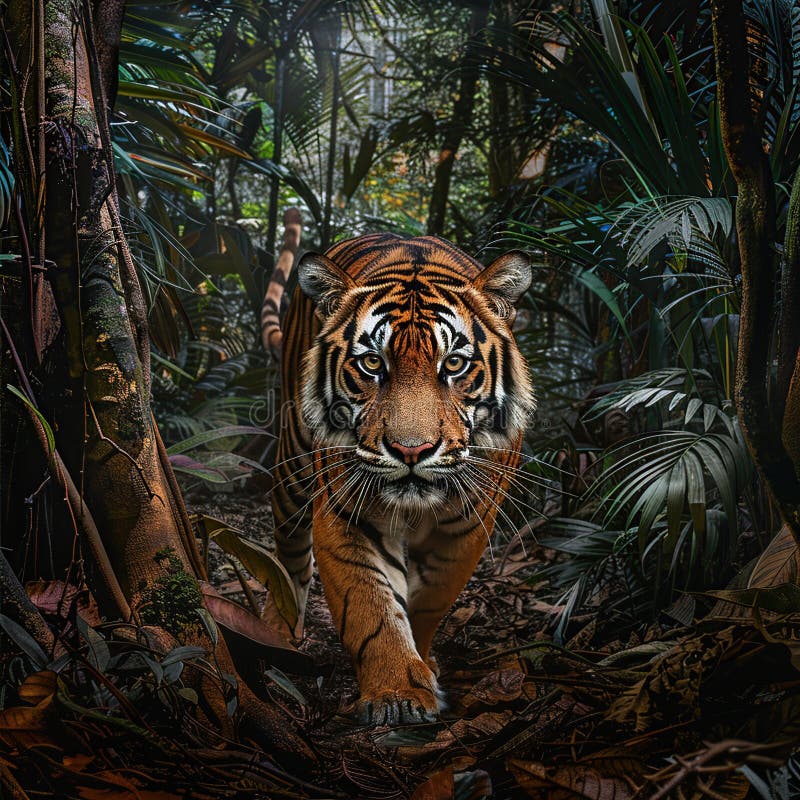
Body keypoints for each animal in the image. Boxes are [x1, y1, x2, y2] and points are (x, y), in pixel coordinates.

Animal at [263, 233, 535, 726]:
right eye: (372, 363)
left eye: (454, 364)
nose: (411, 450)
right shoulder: (344, 514)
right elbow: (371, 607)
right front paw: (397, 695)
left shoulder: (468, 528)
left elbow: (429, 601)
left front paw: (421, 664)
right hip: (292, 466)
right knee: (289, 555)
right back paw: (278, 629)